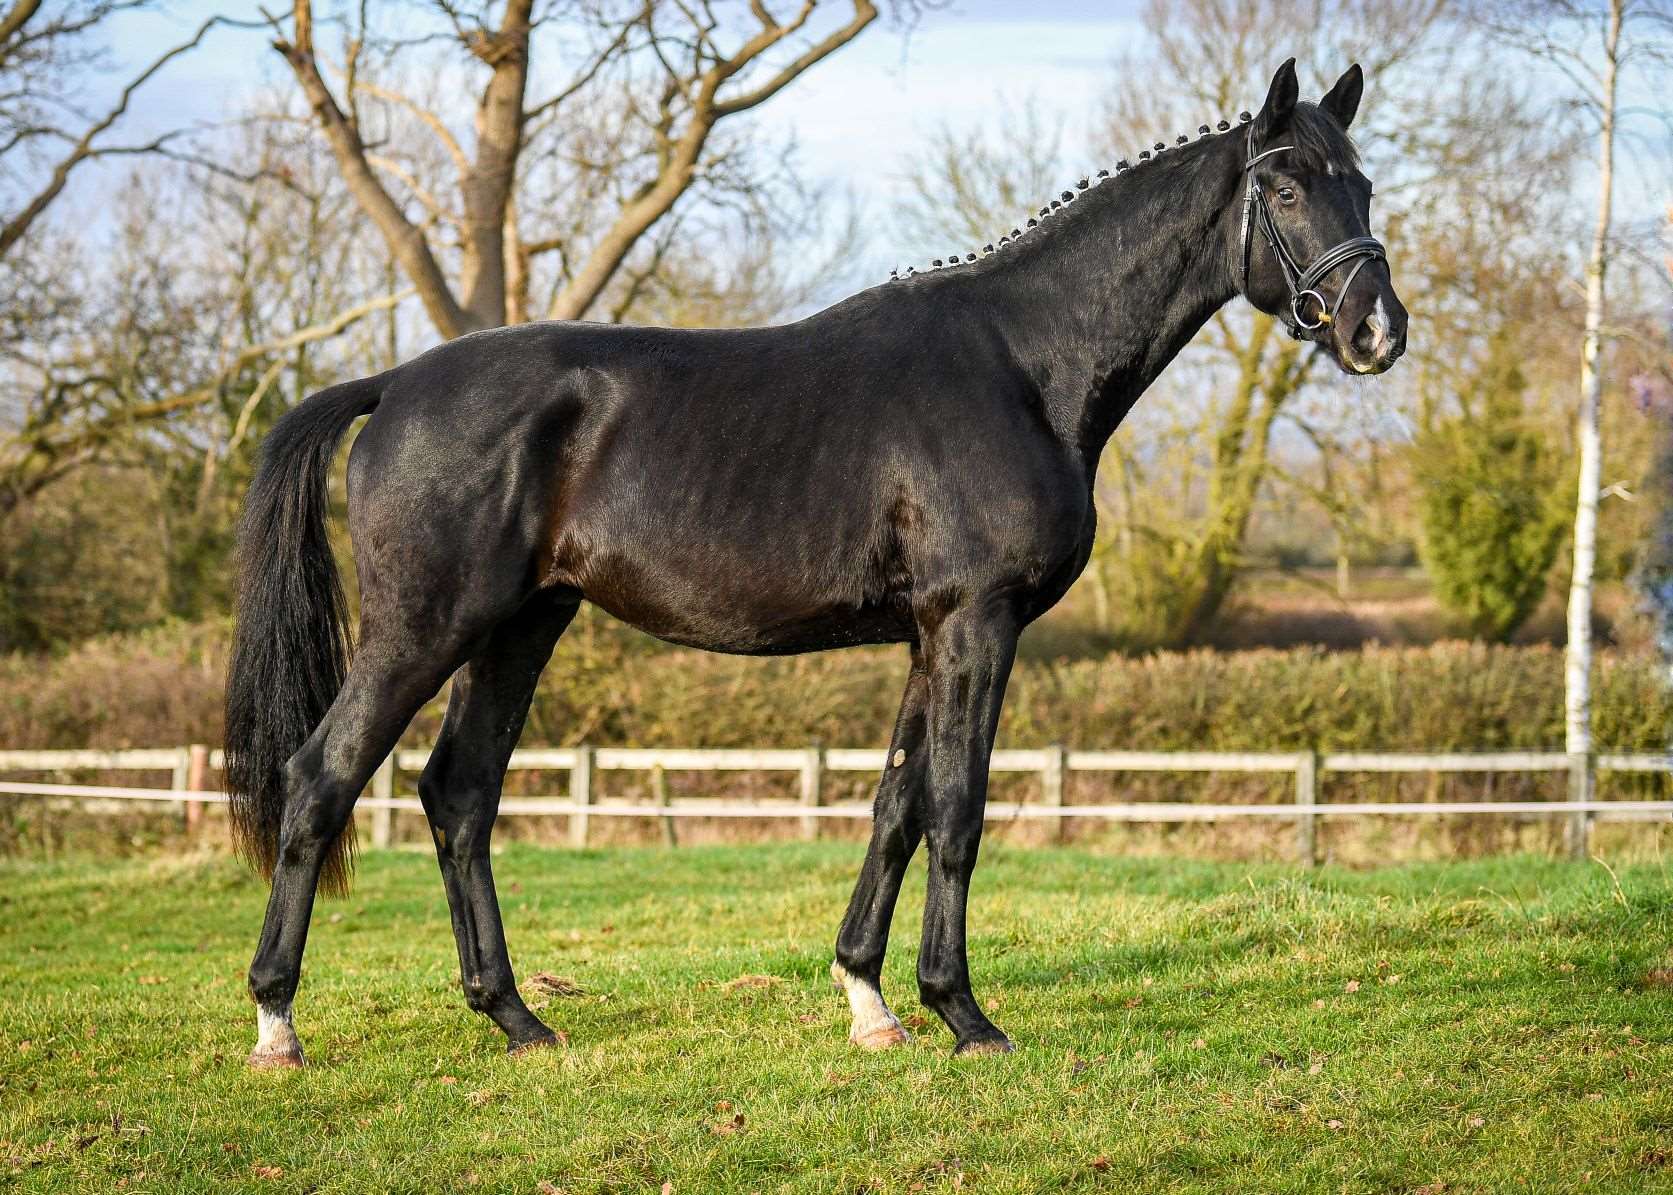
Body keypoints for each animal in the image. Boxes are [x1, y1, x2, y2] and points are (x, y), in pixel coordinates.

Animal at [225, 58, 1408, 1067]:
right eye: (1286, 187)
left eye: (1360, 185)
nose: (1376, 331)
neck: (1022, 363)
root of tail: (392, 384)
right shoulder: (976, 622)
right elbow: (957, 809)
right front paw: (964, 1013)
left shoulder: (931, 635)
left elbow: (895, 807)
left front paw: (870, 1002)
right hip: (424, 629)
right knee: (322, 779)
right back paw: (278, 1024)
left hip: (520, 626)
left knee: (458, 794)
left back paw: (515, 1016)